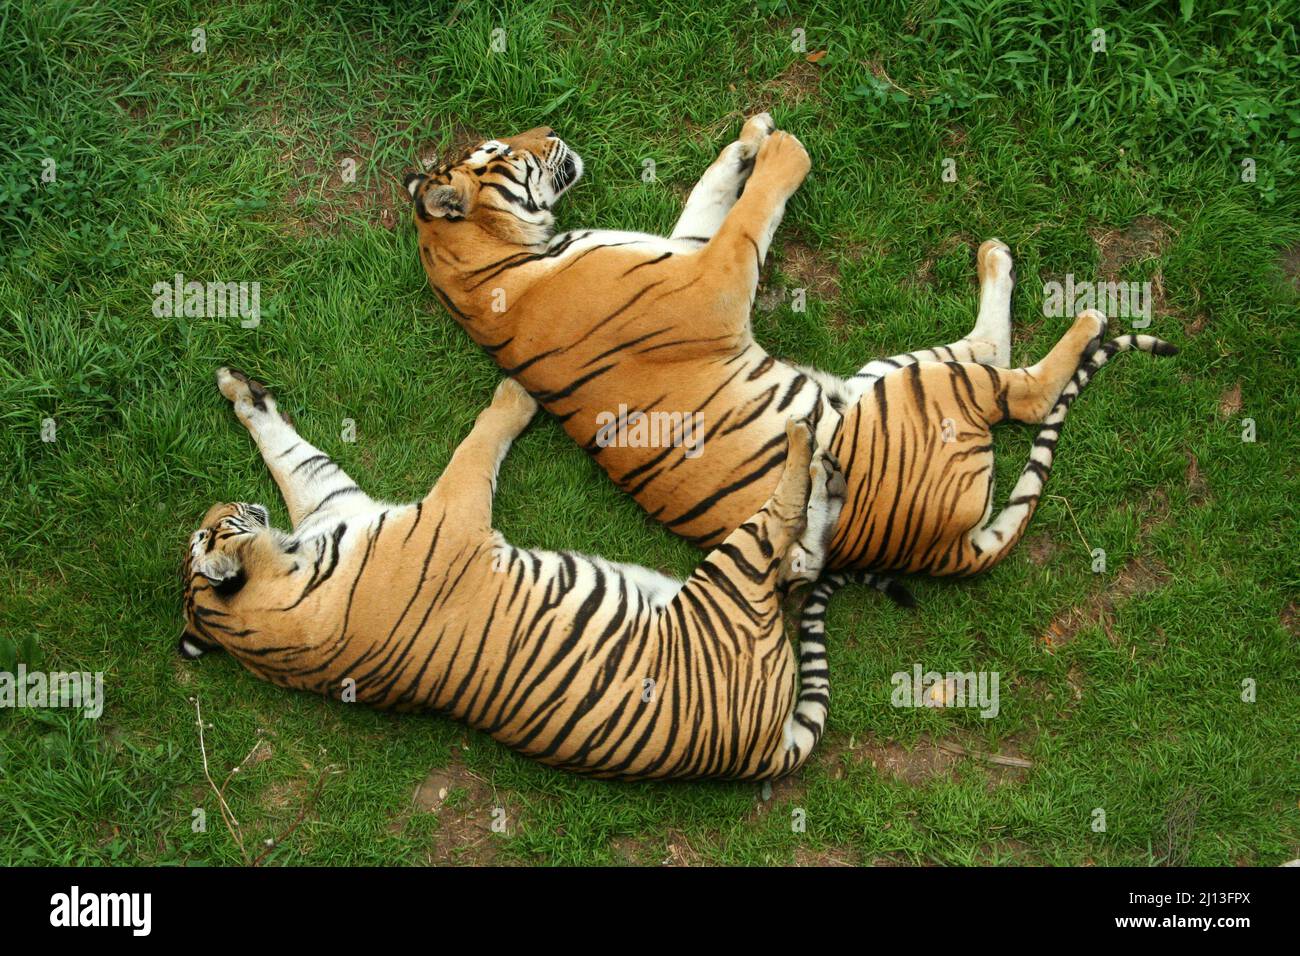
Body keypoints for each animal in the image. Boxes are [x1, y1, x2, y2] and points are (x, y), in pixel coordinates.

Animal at [179, 366, 901, 781]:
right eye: (208, 534)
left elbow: (293, 458)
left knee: (798, 566)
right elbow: (480, 439)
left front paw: (240, 392)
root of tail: (759, 750)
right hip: (731, 571)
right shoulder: (455, 508)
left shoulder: (334, 503)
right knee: (785, 528)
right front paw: (518, 391)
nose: (217, 507)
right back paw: (805, 440)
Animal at [403, 114, 1177, 582]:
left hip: (878, 376)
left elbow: (714, 192)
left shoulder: (687, 247)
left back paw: (994, 256)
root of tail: (941, 549)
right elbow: (750, 214)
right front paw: (782, 151)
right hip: (917, 393)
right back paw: (1082, 312)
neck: (492, 263)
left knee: (989, 349)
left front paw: (751, 136)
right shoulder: (710, 281)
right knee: (1025, 390)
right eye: (508, 152)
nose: (551, 130)